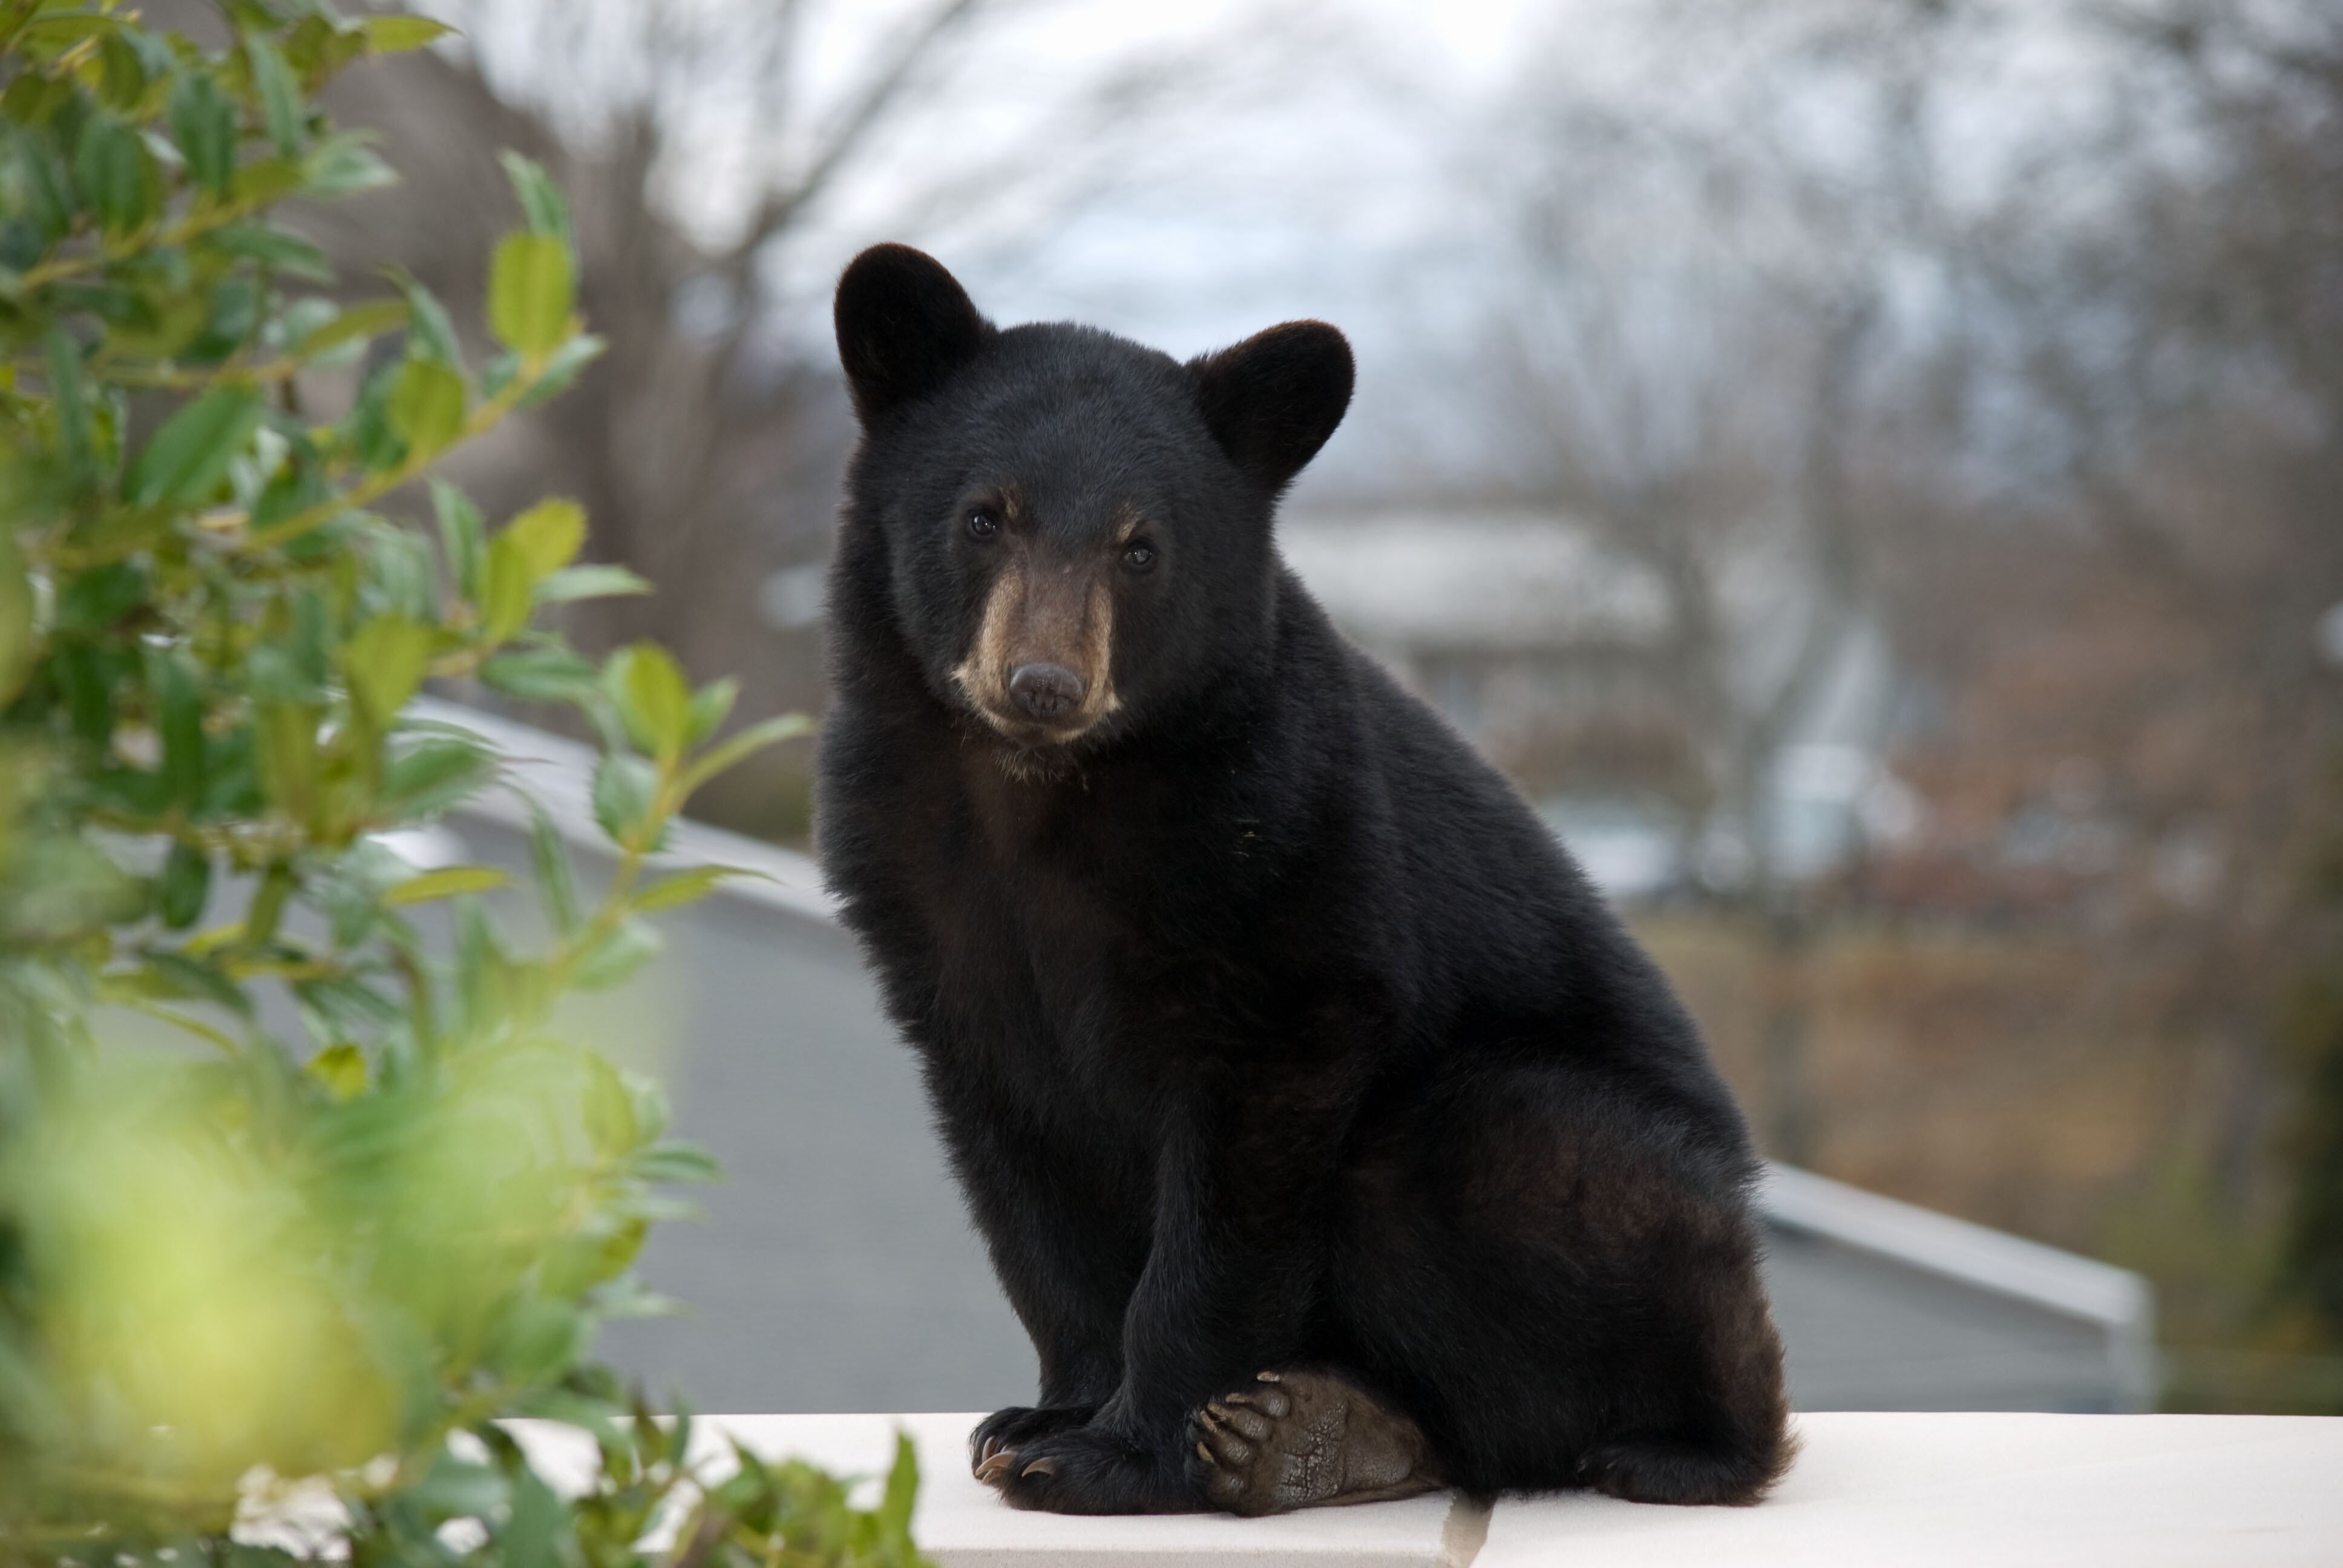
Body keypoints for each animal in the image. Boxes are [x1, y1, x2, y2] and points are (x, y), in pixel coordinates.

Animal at [815, 242, 1793, 1517]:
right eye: (985, 517)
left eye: (1140, 546)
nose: (1040, 682)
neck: (1042, 792)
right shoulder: (925, 906)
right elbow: (1028, 1183)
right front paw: (1042, 1416)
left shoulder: (1280, 844)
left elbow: (1239, 1169)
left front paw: (1114, 1452)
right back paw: (1316, 1432)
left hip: (1553, 1150)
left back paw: (1672, 1446)